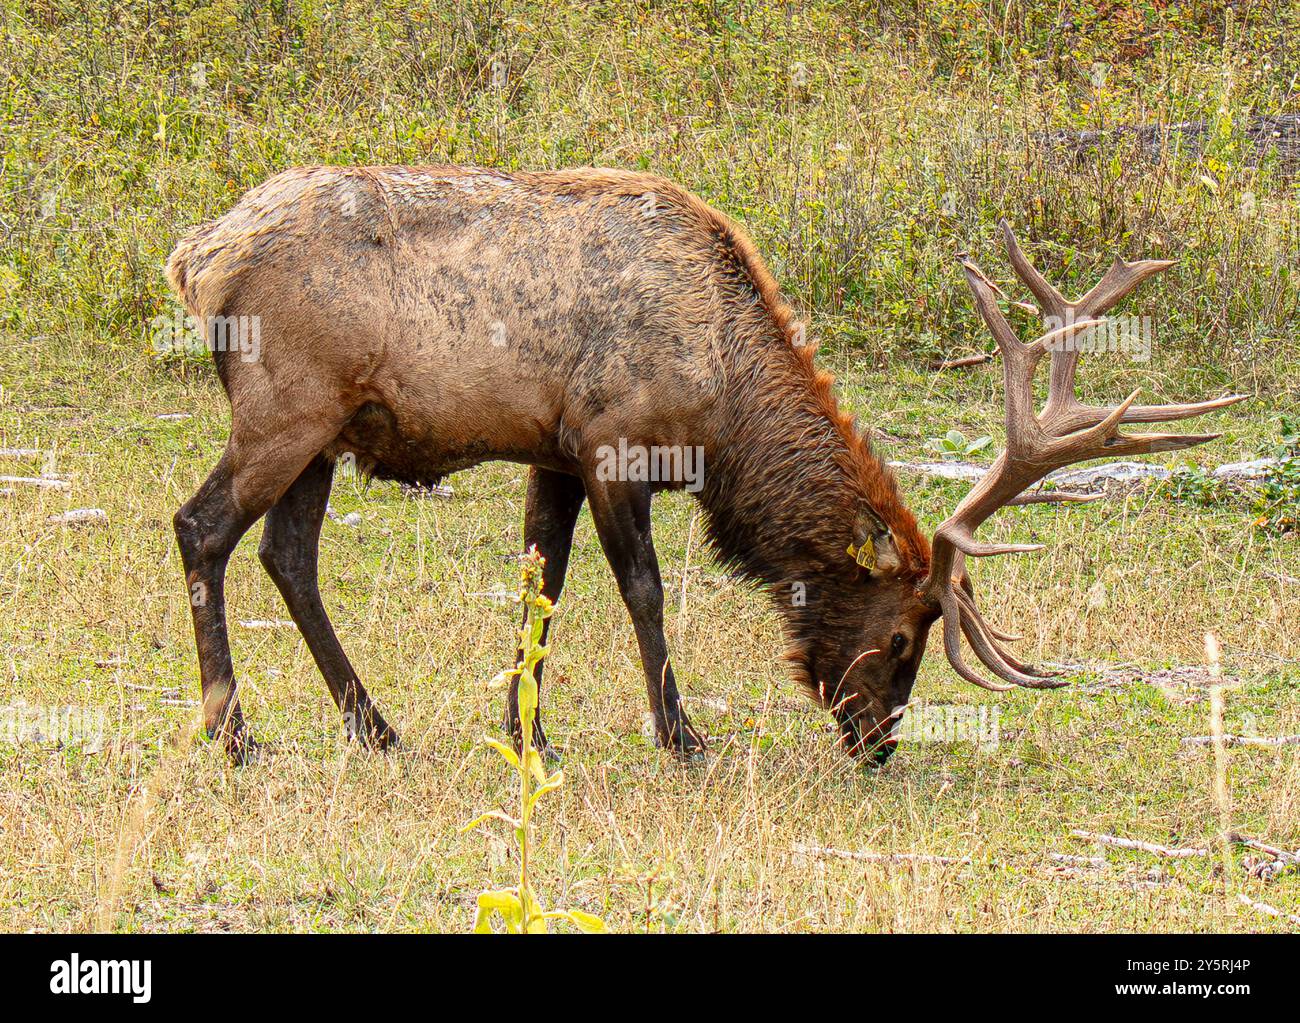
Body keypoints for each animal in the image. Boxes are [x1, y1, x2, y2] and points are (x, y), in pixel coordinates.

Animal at [165, 165, 1243, 765]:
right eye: (903, 637)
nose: (876, 741)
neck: (724, 404)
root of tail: (196, 255)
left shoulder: (555, 451)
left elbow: (541, 583)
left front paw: (526, 732)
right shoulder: (613, 444)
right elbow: (640, 591)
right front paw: (680, 734)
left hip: (326, 432)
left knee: (288, 558)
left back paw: (374, 726)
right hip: (285, 407)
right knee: (201, 527)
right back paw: (234, 733)